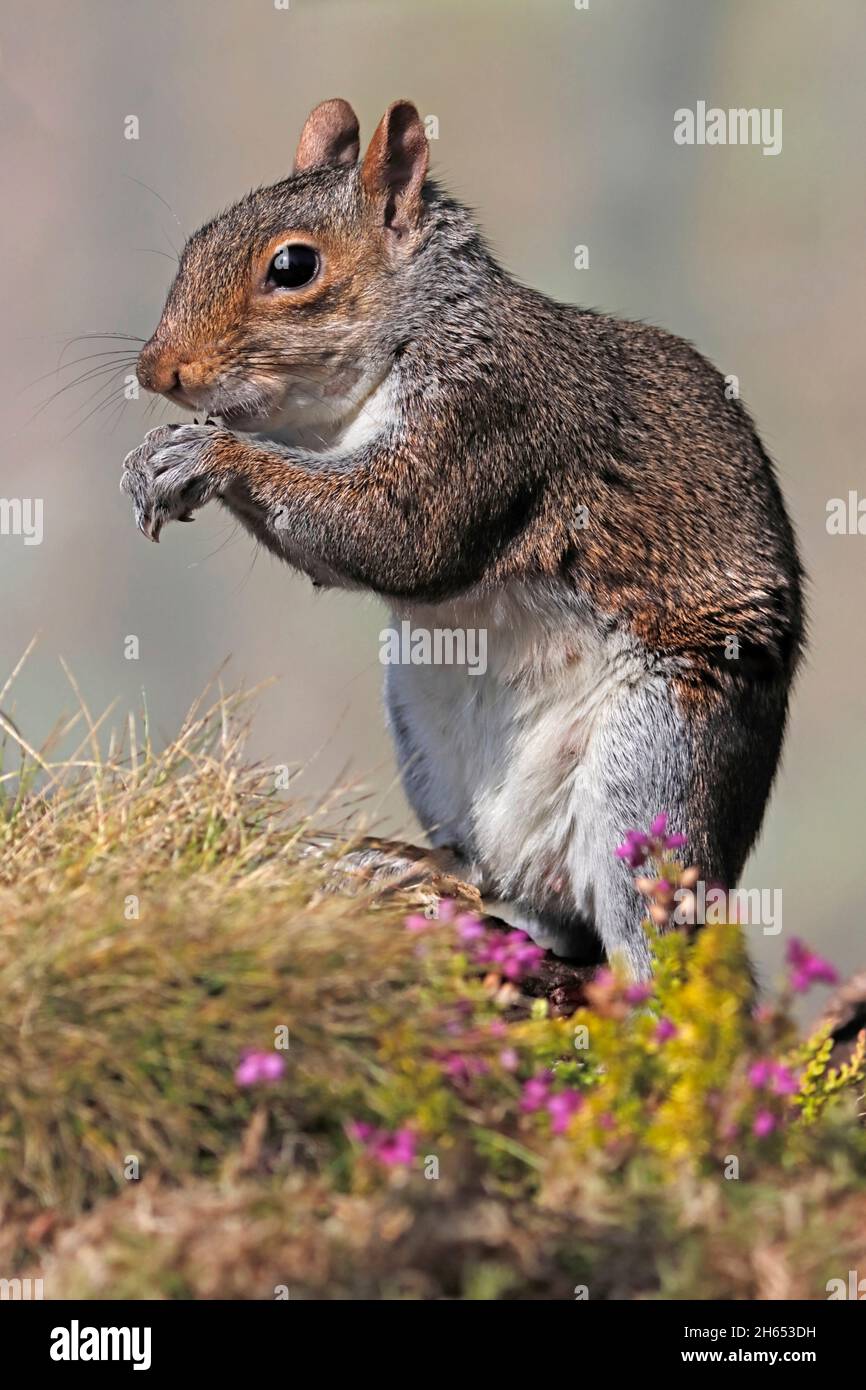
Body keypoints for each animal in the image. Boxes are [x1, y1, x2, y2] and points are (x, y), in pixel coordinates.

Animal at [122, 97, 804, 978]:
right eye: (198, 240)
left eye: (293, 266)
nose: (155, 370)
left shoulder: (492, 415)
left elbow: (399, 531)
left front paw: (206, 456)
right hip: (427, 735)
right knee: (503, 884)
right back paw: (408, 863)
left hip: (655, 766)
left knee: (644, 930)